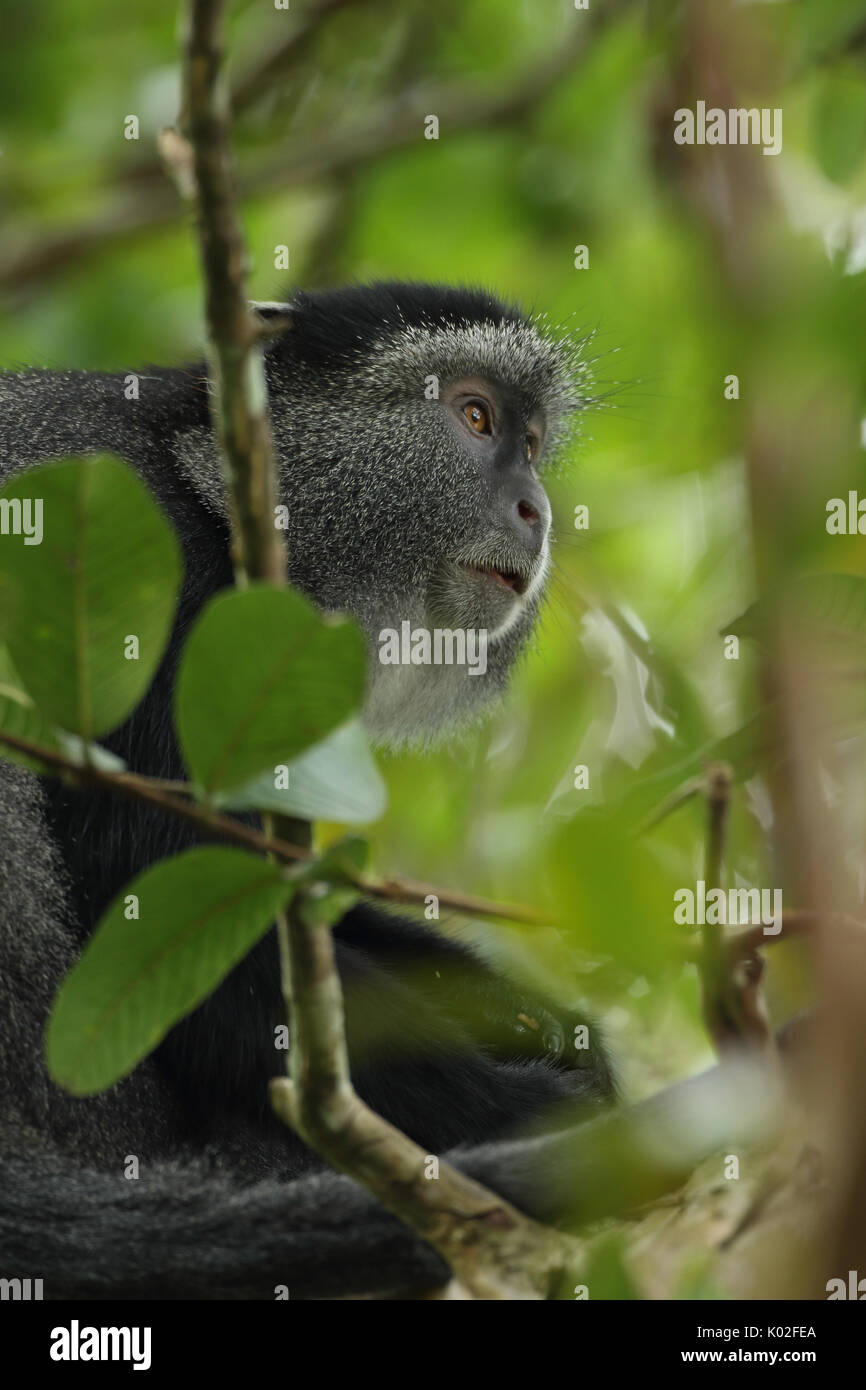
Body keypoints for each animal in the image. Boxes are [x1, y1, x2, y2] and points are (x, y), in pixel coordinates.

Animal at [0, 281, 614, 1299]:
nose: (537, 508)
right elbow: (191, 944)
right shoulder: (158, 588)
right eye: (474, 417)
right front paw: (534, 1112)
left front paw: (538, 1022)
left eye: (530, 443)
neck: (200, 486)